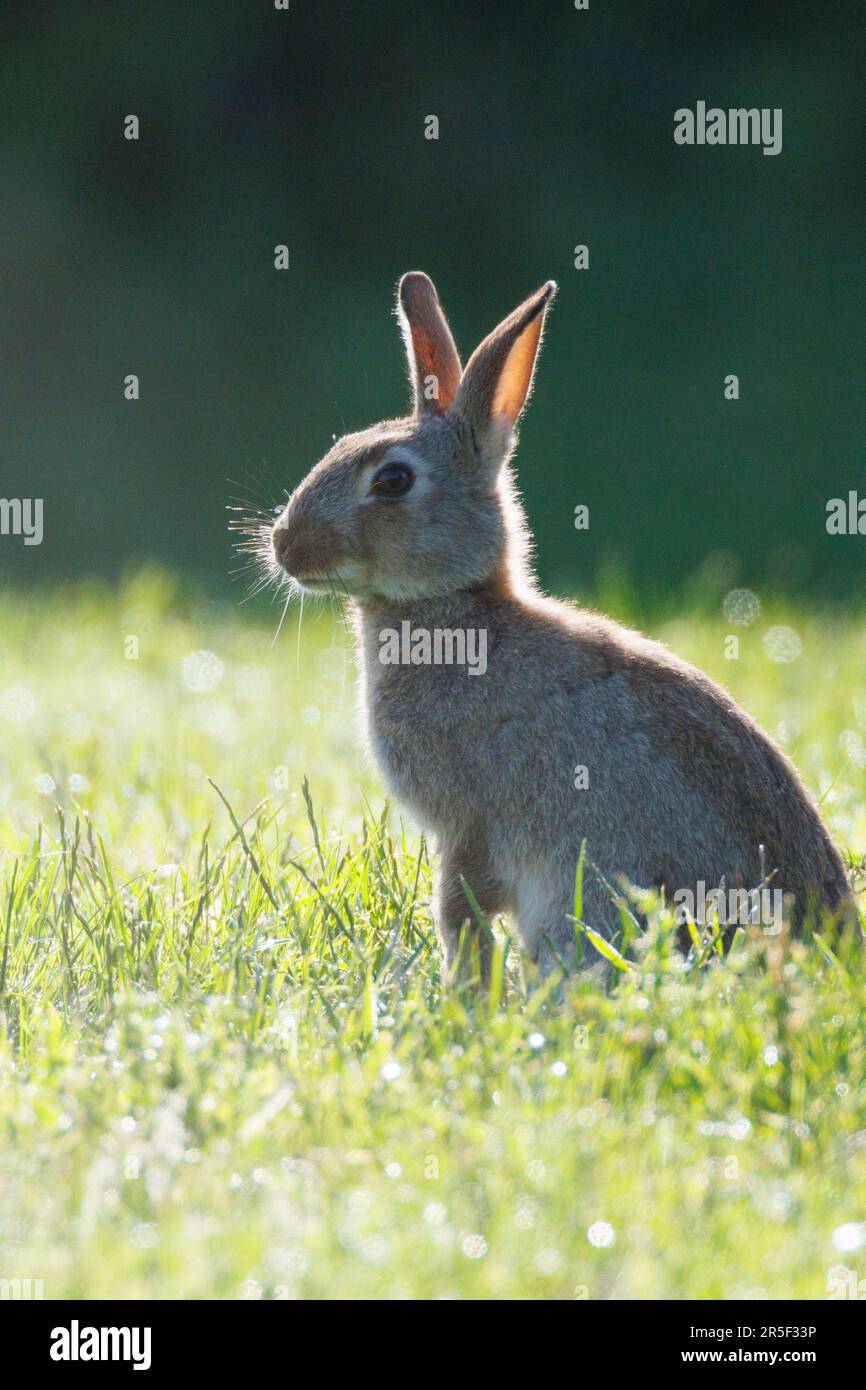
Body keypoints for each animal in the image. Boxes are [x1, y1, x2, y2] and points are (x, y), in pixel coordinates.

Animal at [271, 271, 856, 977]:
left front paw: (468, 985)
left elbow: (458, 906)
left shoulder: (470, 824)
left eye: (392, 480)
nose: (283, 545)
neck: (454, 607)